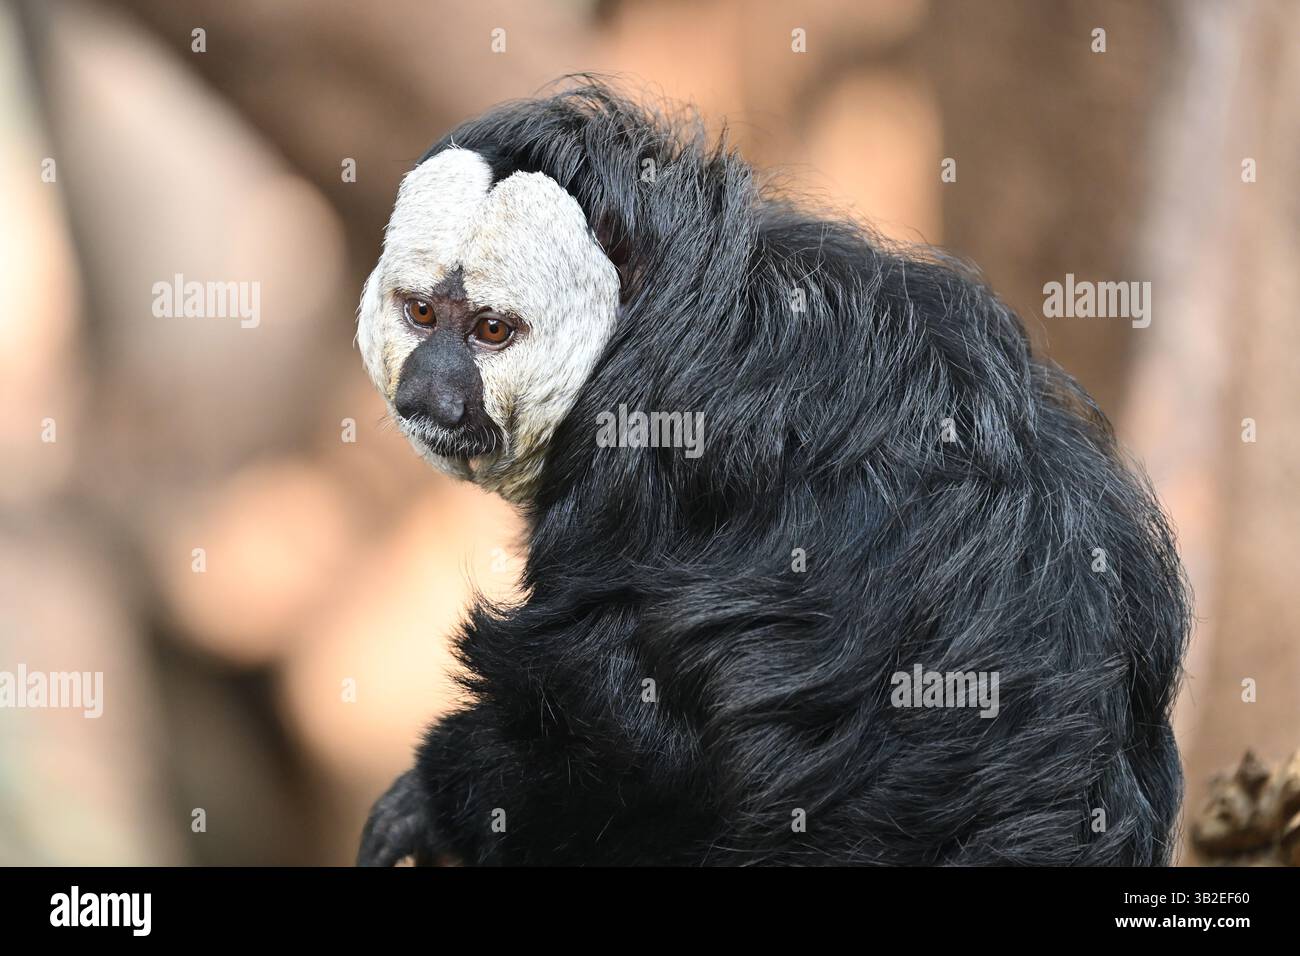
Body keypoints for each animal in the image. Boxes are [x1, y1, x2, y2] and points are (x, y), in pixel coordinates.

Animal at [355, 80, 1190, 866]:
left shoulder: (649, 431)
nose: (429, 393)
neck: (653, 313)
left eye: (491, 330)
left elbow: (618, 725)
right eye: (421, 314)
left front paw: (431, 801)